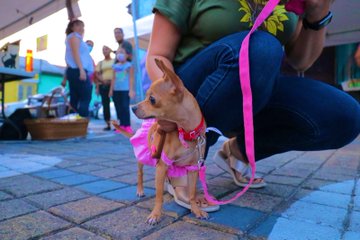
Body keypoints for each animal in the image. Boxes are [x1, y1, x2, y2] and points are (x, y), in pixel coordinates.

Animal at [125, 59, 212, 224]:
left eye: (152, 99)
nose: (132, 107)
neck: (186, 134)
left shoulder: (193, 168)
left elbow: (191, 194)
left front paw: (196, 210)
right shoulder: (162, 165)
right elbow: (159, 196)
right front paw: (155, 215)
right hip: (141, 159)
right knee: (140, 174)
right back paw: (140, 190)